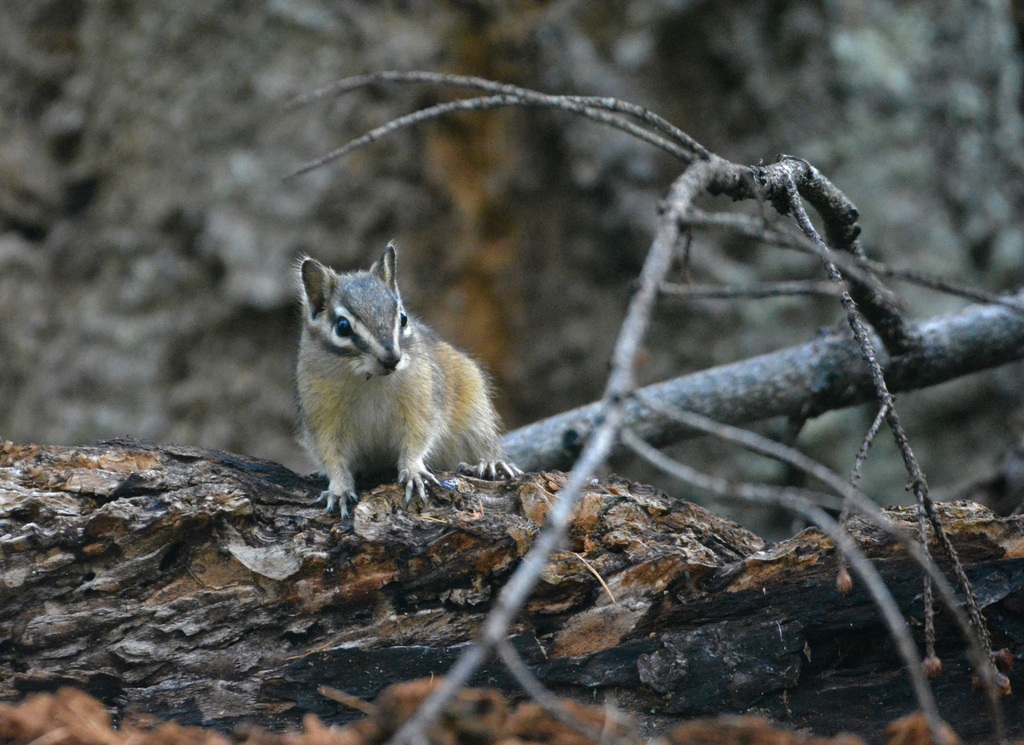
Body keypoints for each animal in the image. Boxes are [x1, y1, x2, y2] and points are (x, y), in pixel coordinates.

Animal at [295, 242, 522, 516]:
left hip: (475, 413)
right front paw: (338, 488)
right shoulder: (322, 418)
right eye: (342, 326)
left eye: (403, 318)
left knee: (485, 445)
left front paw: (413, 471)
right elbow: (331, 455)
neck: (369, 381)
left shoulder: (421, 401)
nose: (391, 358)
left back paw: (491, 464)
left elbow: (417, 438)